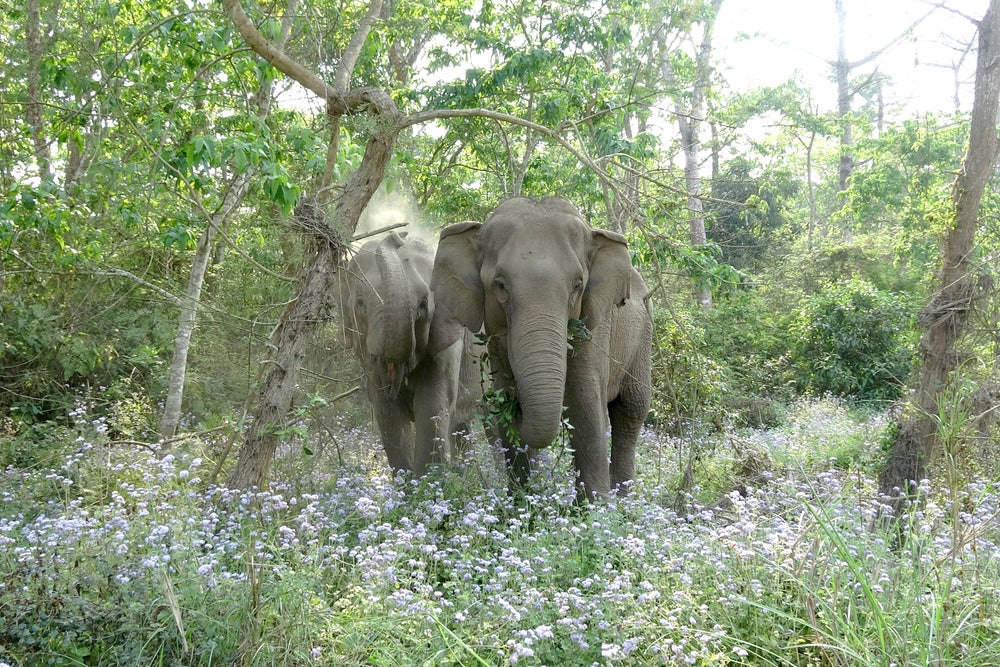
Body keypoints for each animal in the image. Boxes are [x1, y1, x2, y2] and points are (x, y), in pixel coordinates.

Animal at [338, 231, 482, 474]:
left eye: (423, 305)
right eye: (360, 303)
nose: (398, 234)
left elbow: (433, 404)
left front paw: (428, 481)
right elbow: (387, 413)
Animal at [431, 196, 652, 500]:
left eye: (577, 285)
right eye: (500, 285)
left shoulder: (595, 329)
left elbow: (585, 405)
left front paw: (595, 508)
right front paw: (524, 502)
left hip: (642, 338)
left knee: (630, 410)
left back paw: (624, 500)